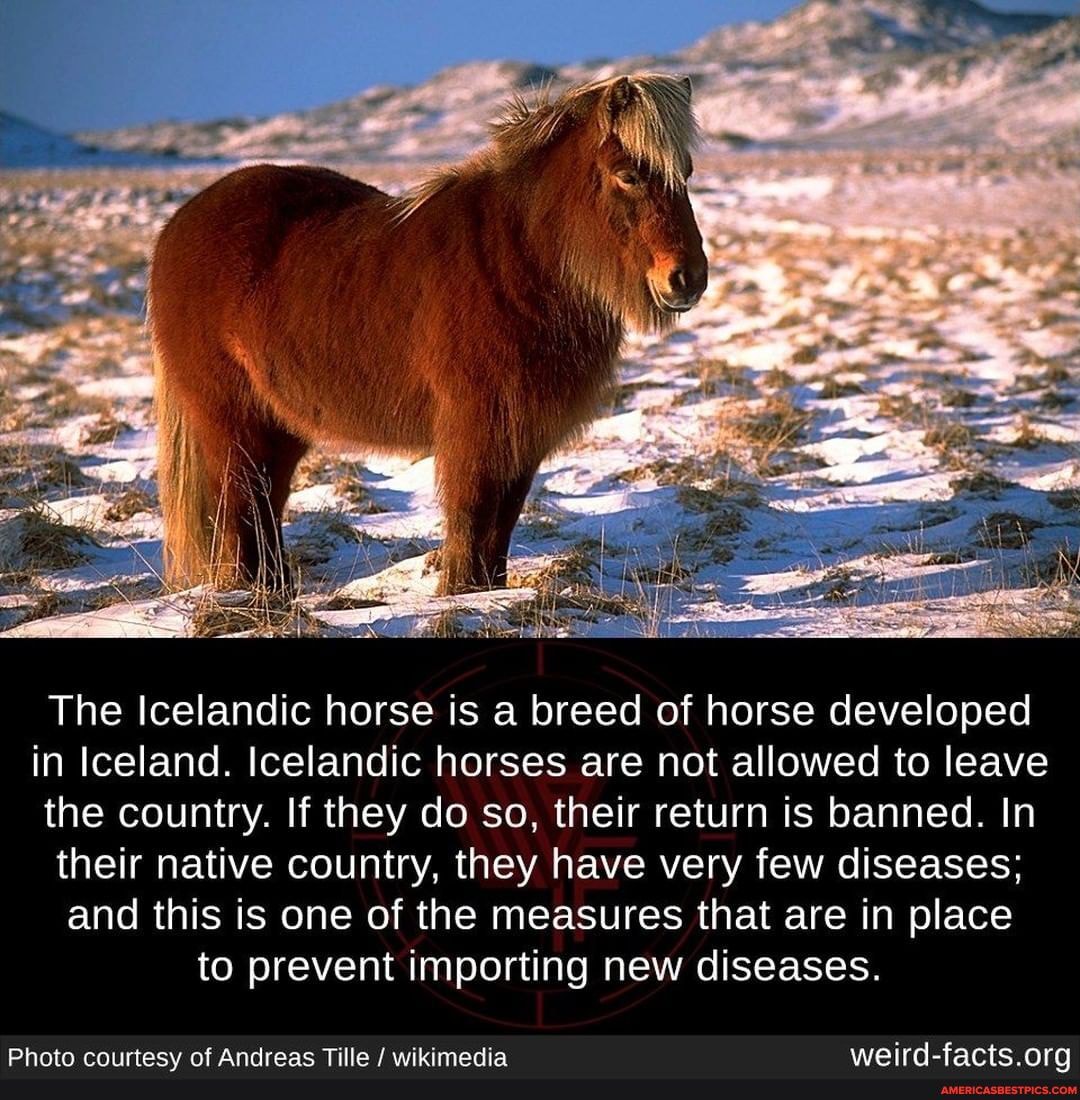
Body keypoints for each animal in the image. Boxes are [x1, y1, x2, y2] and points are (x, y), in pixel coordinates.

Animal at [148, 72, 708, 596]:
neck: (518, 259)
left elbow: (501, 523)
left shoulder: (522, 433)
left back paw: (276, 589)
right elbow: (472, 513)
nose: (688, 279)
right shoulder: (477, 427)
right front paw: (458, 593)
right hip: (232, 419)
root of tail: (179, 223)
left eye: (686, 173)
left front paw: (486, 591)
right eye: (629, 175)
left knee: (265, 503)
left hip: (279, 423)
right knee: (242, 506)